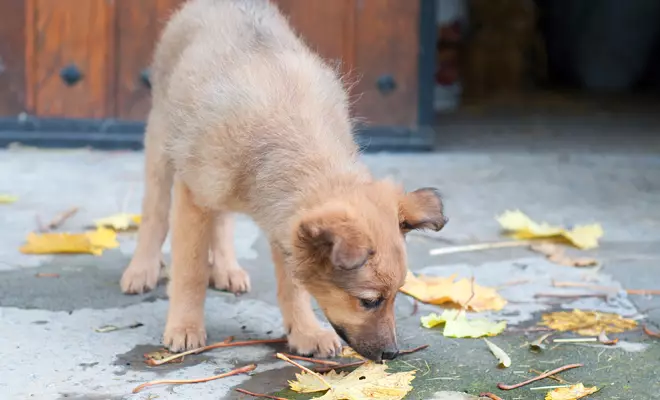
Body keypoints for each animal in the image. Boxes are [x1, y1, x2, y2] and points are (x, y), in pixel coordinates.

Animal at [120, 0, 446, 362]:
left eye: (397, 294)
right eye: (369, 301)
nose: (392, 353)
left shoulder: (283, 221)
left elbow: (293, 286)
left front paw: (304, 331)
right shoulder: (193, 194)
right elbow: (190, 270)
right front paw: (185, 326)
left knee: (222, 218)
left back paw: (227, 268)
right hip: (163, 142)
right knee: (155, 211)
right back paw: (142, 268)